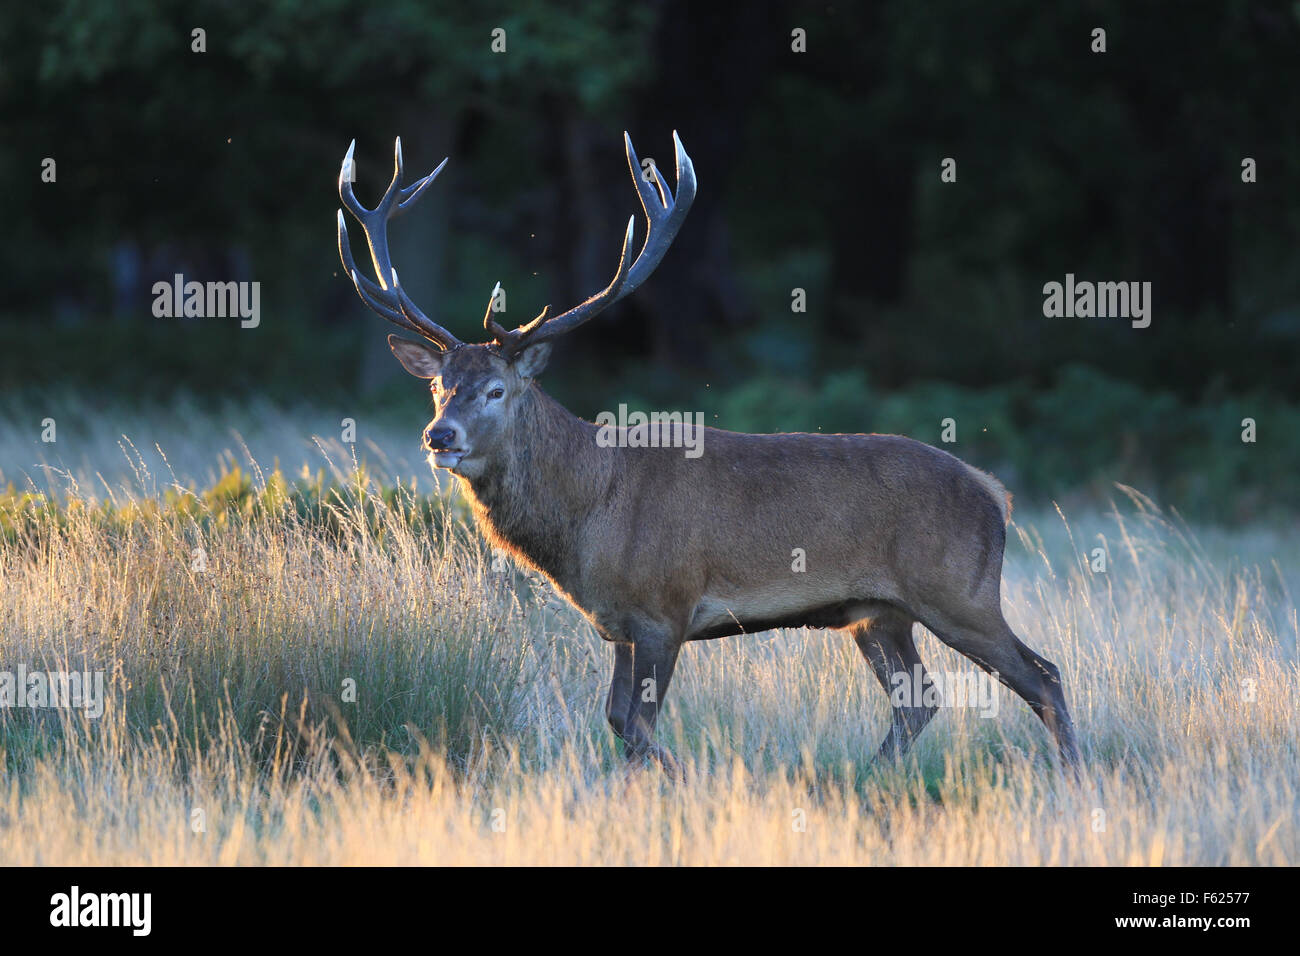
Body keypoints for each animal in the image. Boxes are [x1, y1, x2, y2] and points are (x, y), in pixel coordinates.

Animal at [336, 131, 1081, 775]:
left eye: (495, 389)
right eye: (438, 385)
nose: (439, 437)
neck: (588, 518)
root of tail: (994, 493)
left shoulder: (666, 608)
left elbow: (637, 726)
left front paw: (690, 780)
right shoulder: (619, 625)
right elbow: (617, 724)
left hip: (959, 590)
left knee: (1042, 676)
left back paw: (1076, 781)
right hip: (878, 612)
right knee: (918, 700)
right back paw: (868, 779)